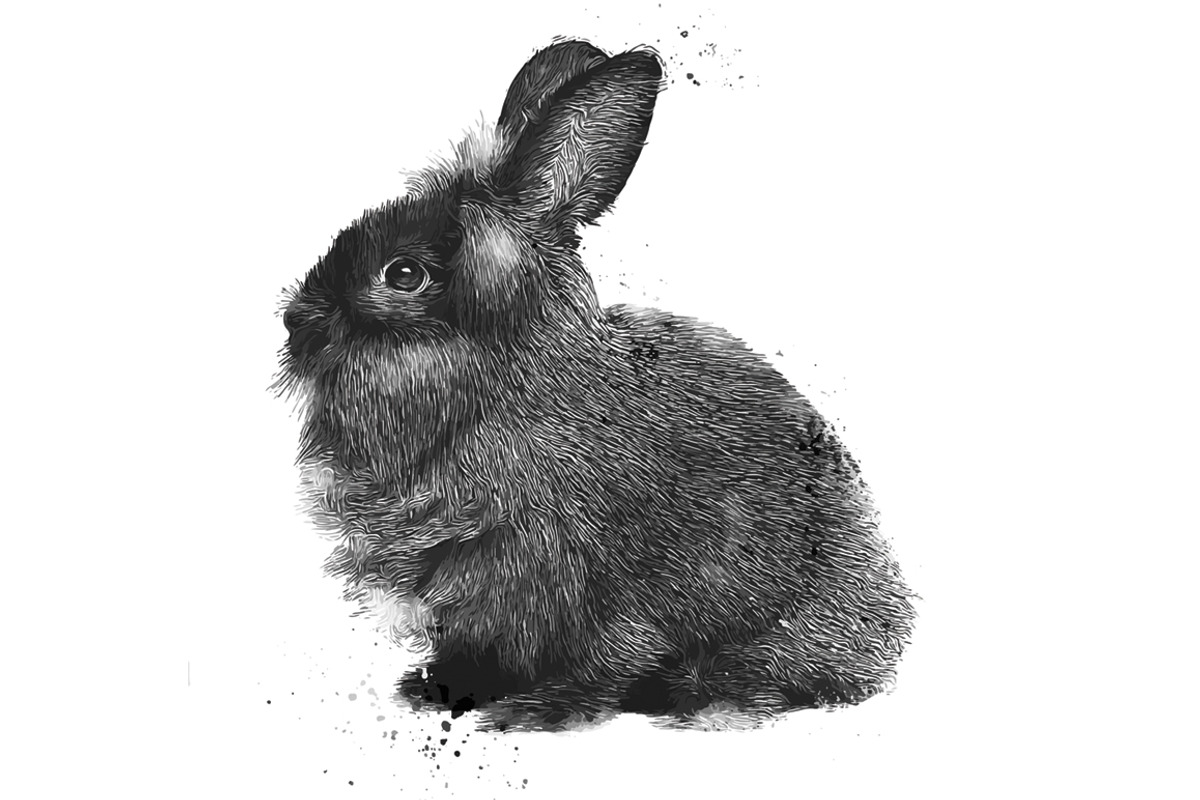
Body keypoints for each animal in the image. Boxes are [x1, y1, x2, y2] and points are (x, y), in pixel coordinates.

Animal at [278, 38, 915, 731]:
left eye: (403, 274)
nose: (294, 320)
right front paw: (432, 689)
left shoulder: (569, 579)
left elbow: (602, 660)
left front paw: (527, 713)